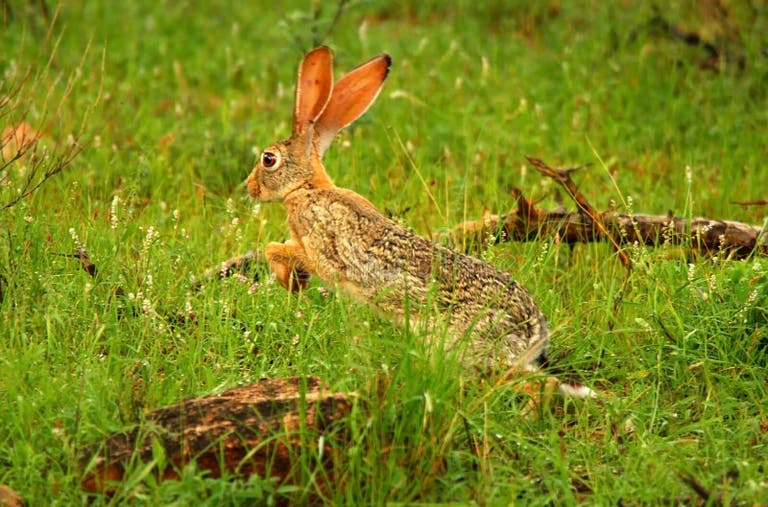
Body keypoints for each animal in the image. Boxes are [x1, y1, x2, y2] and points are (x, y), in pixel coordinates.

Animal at [246, 46, 594, 399]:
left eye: (268, 159)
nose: (250, 188)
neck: (306, 188)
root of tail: (535, 334)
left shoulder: (320, 249)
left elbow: (278, 249)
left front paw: (288, 280)